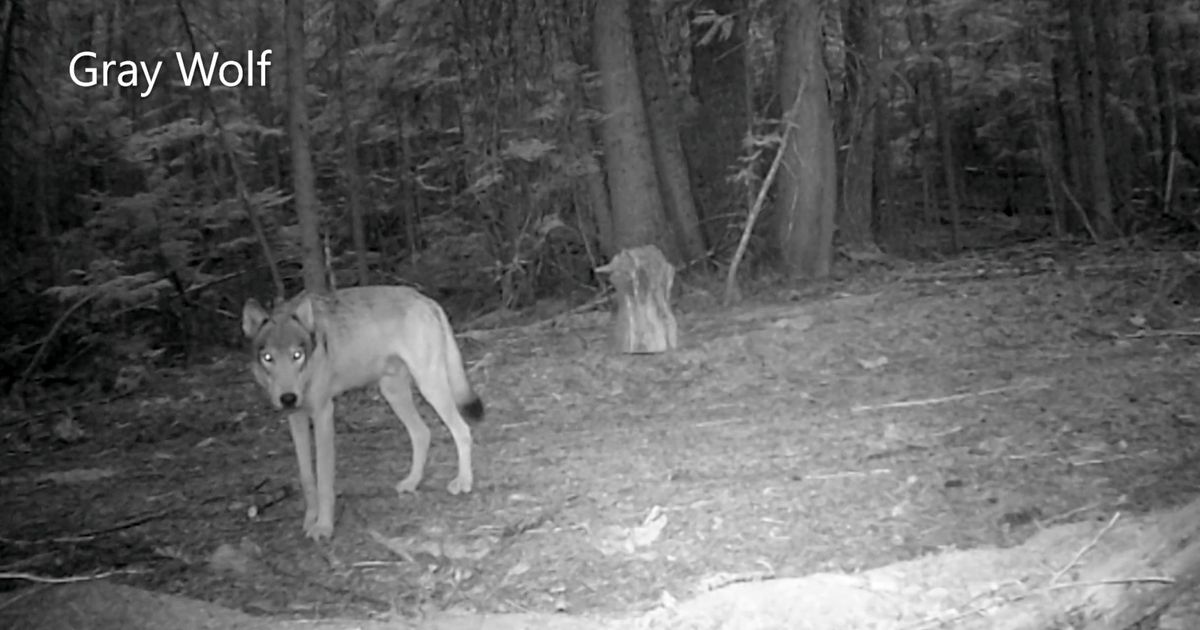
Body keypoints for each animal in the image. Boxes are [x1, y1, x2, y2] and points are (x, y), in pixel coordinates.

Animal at [241, 286, 483, 541]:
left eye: (297, 355)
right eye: (268, 358)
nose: (288, 398)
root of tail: (425, 299)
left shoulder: (323, 414)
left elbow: (324, 480)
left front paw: (323, 527)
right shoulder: (296, 418)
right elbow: (307, 477)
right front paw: (309, 520)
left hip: (429, 386)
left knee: (462, 430)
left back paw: (464, 481)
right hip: (392, 392)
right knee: (422, 433)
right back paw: (412, 482)